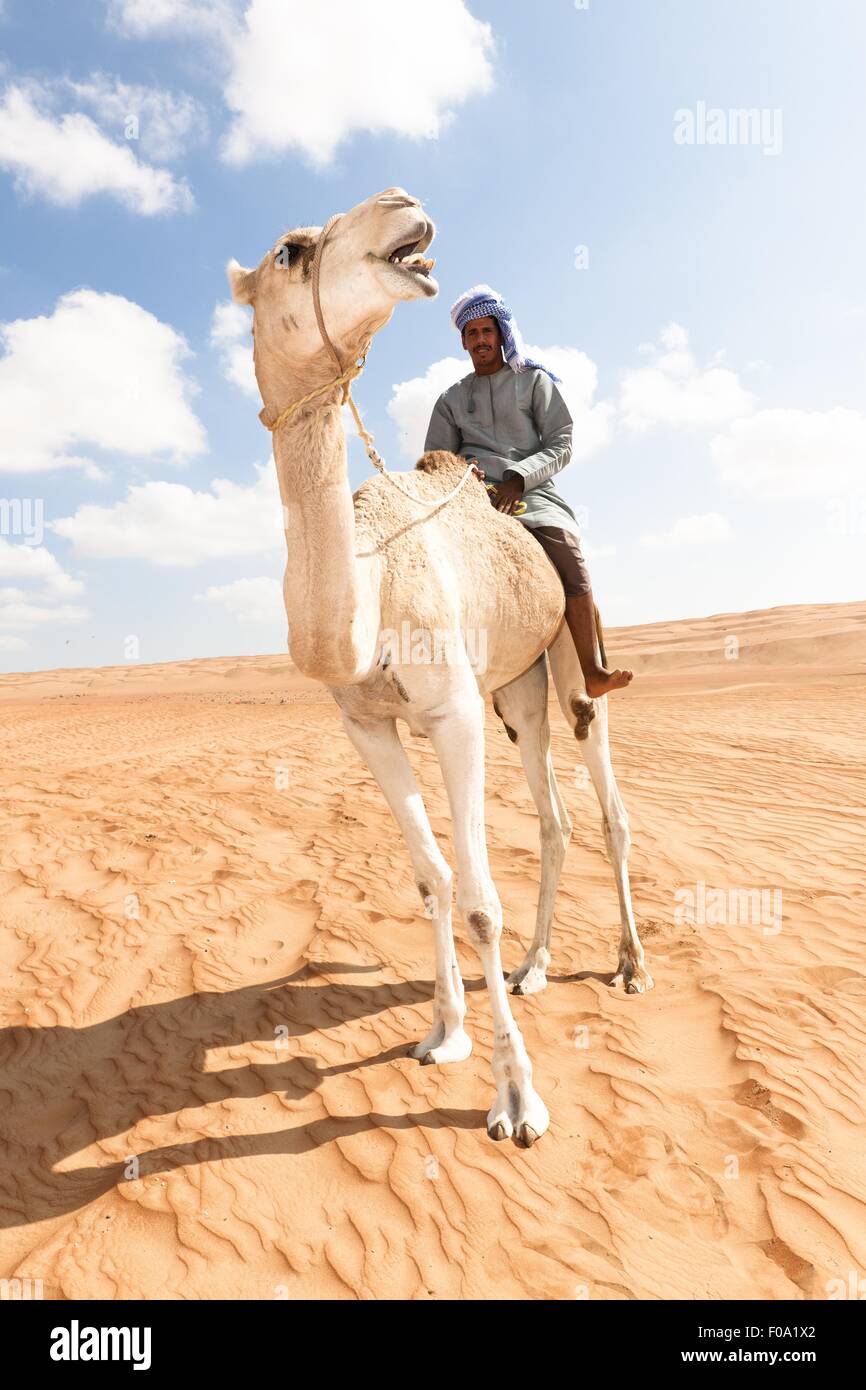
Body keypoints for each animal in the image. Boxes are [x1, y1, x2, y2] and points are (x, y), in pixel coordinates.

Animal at [227, 187, 652, 1147]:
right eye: (290, 250)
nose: (404, 206)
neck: (374, 588)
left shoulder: (454, 715)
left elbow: (481, 899)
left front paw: (518, 1099)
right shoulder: (368, 726)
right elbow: (432, 879)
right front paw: (444, 1034)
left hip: (571, 658)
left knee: (606, 803)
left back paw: (631, 966)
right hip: (516, 695)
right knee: (555, 816)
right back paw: (536, 967)